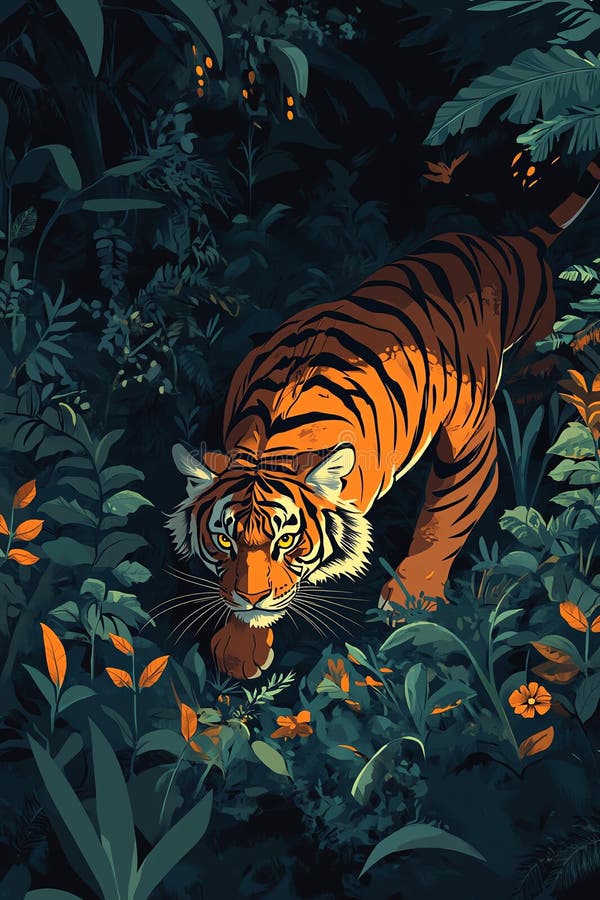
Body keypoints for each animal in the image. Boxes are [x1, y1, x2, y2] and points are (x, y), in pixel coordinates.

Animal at [167, 158, 600, 680]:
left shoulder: (471, 447)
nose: (251, 599)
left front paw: (411, 603)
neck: (274, 435)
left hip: (534, 337)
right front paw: (239, 647)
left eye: (287, 540)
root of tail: (512, 240)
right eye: (223, 540)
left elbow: (442, 522)